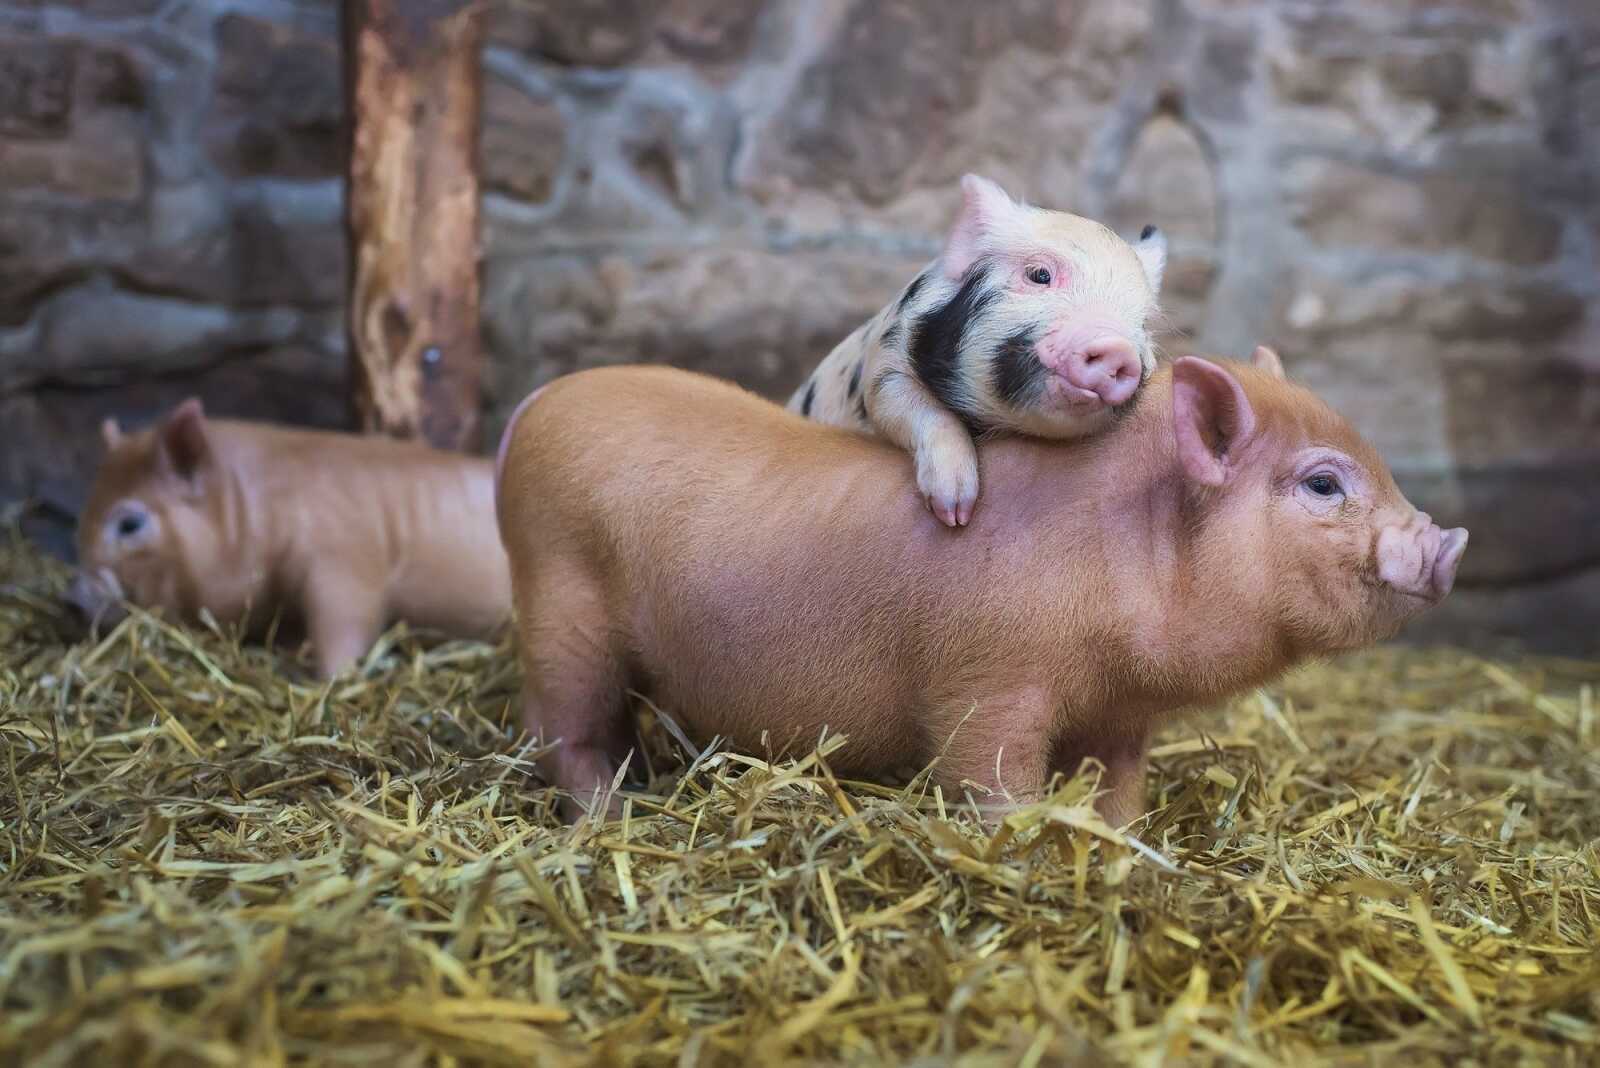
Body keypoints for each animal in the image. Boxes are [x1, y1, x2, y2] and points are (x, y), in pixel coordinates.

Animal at [70, 398, 511, 678]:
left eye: (129, 524)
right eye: (87, 510)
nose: (70, 598)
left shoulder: (345, 563)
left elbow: (345, 627)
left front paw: (323, 679)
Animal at [497, 347, 1467, 825]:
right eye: (1323, 484)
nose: (1447, 541)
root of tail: (534, 407)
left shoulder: (1121, 712)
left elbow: (1118, 788)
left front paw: (1118, 843)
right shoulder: (988, 681)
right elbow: (990, 777)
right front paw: (1024, 841)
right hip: (559, 600)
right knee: (561, 727)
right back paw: (611, 816)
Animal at [788, 174, 1168, 527]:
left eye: (1143, 324)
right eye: (1039, 275)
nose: (1116, 346)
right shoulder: (884, 362)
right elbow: (908, 406)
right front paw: (955, 515)